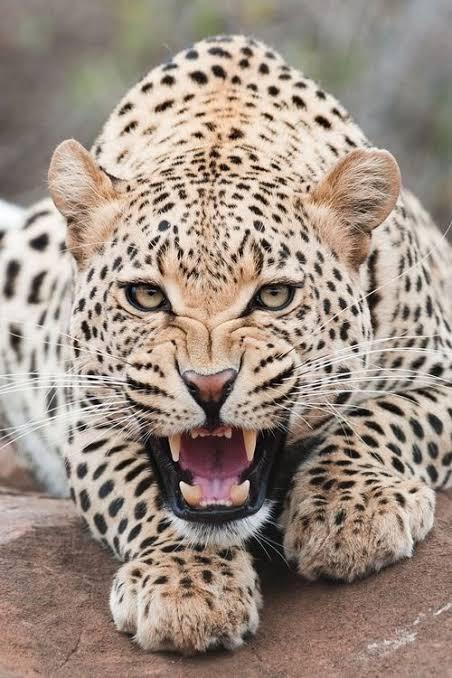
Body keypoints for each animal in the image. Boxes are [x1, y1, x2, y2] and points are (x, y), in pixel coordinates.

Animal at [1, 35, 451, 655]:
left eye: (275, 296)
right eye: (145, 296)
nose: (209, 386)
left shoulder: (439, 372)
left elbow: (382, 418)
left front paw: (349, 514)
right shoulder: (87, 419)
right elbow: (139, 493)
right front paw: (188, 588)